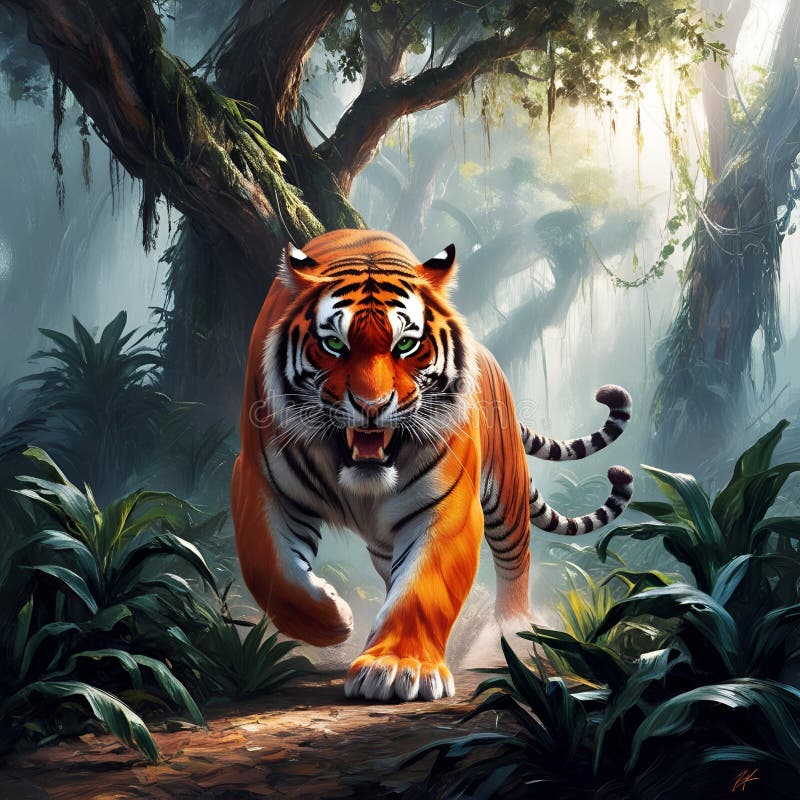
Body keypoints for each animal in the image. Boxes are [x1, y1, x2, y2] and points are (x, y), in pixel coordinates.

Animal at [231, 228, 633, 702]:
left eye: (406, 345)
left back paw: (514, 634)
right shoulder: (259, 481)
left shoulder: (447, 503)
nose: (371, 406)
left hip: (508, 502)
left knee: (516, 565)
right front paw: (334, 621)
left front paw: (398, 668)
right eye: (334, 344)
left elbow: (425, 587)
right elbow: (270, 571)